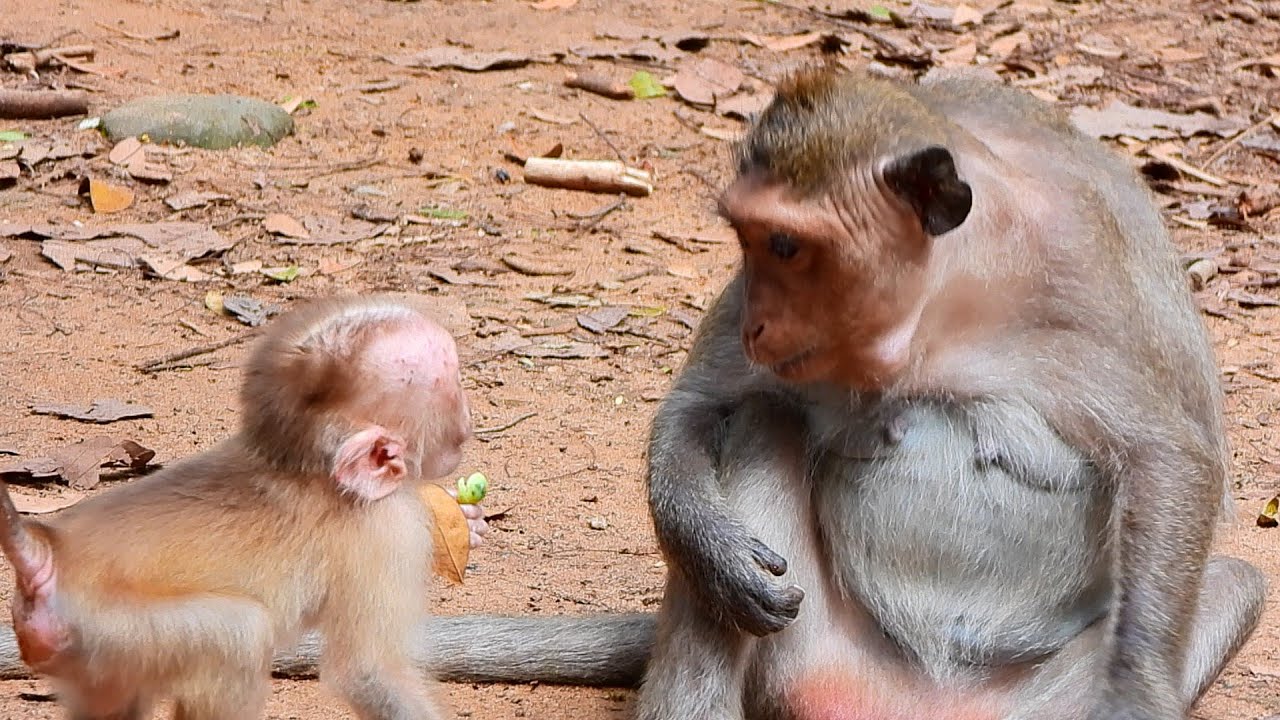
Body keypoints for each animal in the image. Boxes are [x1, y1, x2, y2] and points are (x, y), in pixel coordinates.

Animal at [0, 293, 488, 720]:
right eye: (457, 386)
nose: (471, 415)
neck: (309, 472)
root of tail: (50, 554)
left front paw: (465, 520)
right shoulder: (384, 533)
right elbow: (369, 673)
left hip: (91, 656)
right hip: (110, 630)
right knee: (241, 636)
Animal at [638, 66, 1268, 720]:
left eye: (785, 245)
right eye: (746, 237)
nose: (754, 325)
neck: (945, 294)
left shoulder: (1087, 273)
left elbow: (1168, 456)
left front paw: (1136, 694)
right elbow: (698, 407)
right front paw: (713, 550)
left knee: (1234, 585)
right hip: (810, 663)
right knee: (761, 412)